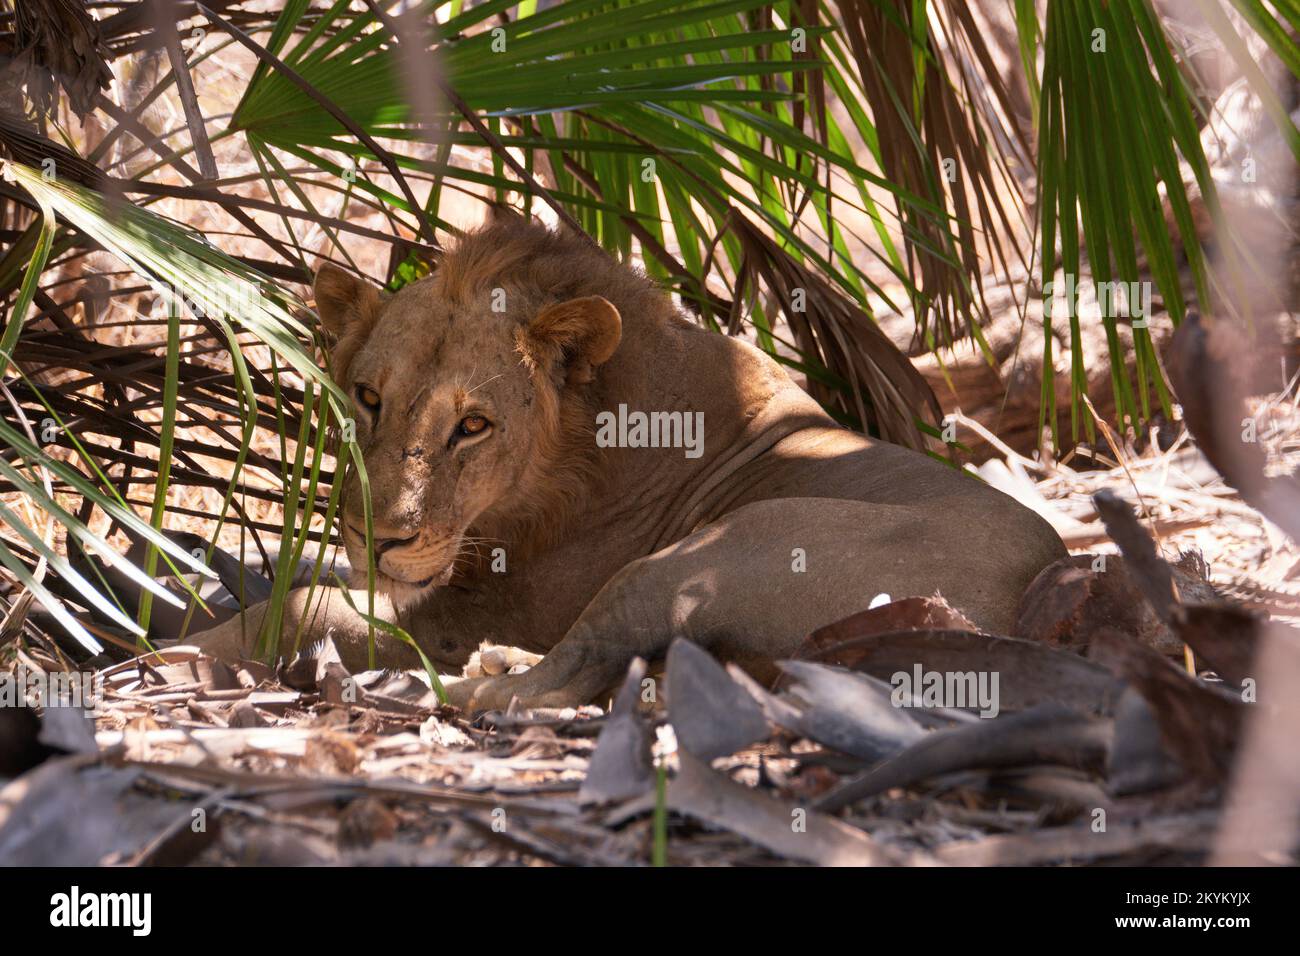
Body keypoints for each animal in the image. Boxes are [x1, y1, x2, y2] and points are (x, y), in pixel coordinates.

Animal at [192, 217, 1067, 710]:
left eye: (471, 426)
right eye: (370, 398)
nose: (381, 538)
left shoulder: (472, 608)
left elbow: (298, 608)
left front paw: (182, 646)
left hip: (722, 548)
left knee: (550, 680)